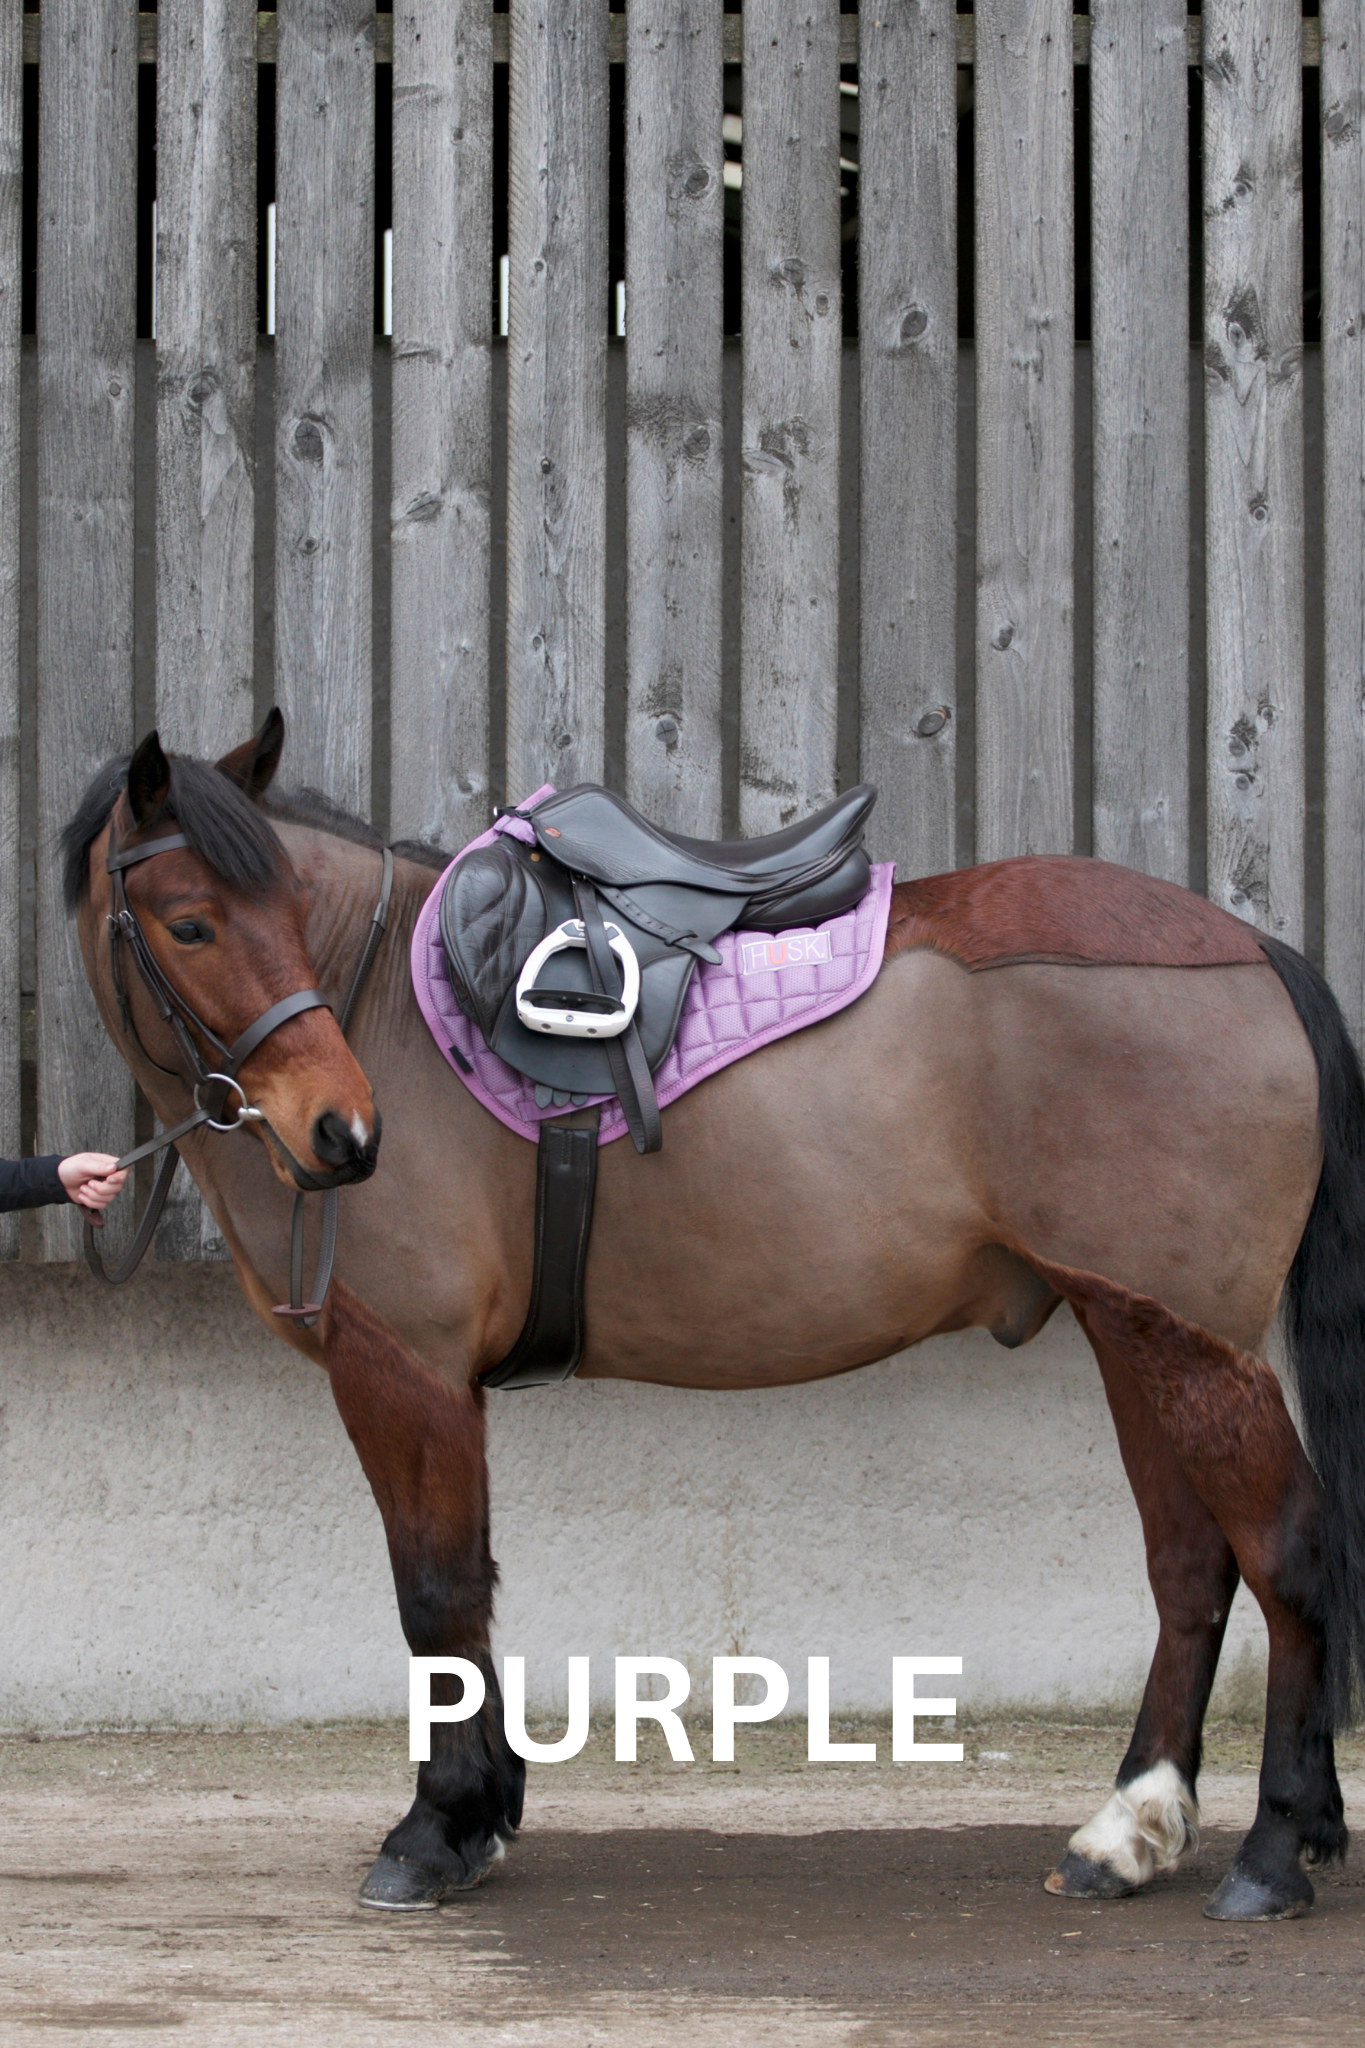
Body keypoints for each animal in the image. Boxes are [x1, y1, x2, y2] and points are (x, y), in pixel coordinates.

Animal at [60, 709, 1365, 1924]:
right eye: (193, 922)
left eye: (276, 908)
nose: (343, 1130)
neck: (382, 1001)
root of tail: (1249, 947)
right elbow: (468, 1585)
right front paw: (486, 1810)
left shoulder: (403, 1368)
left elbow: (434, 1588)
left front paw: (436, 1829)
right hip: (1132, 1325)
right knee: (1191, 1562)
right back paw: (1130, 1826)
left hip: (1192, 1343)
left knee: (1287, 1548)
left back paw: (1270, 1847)